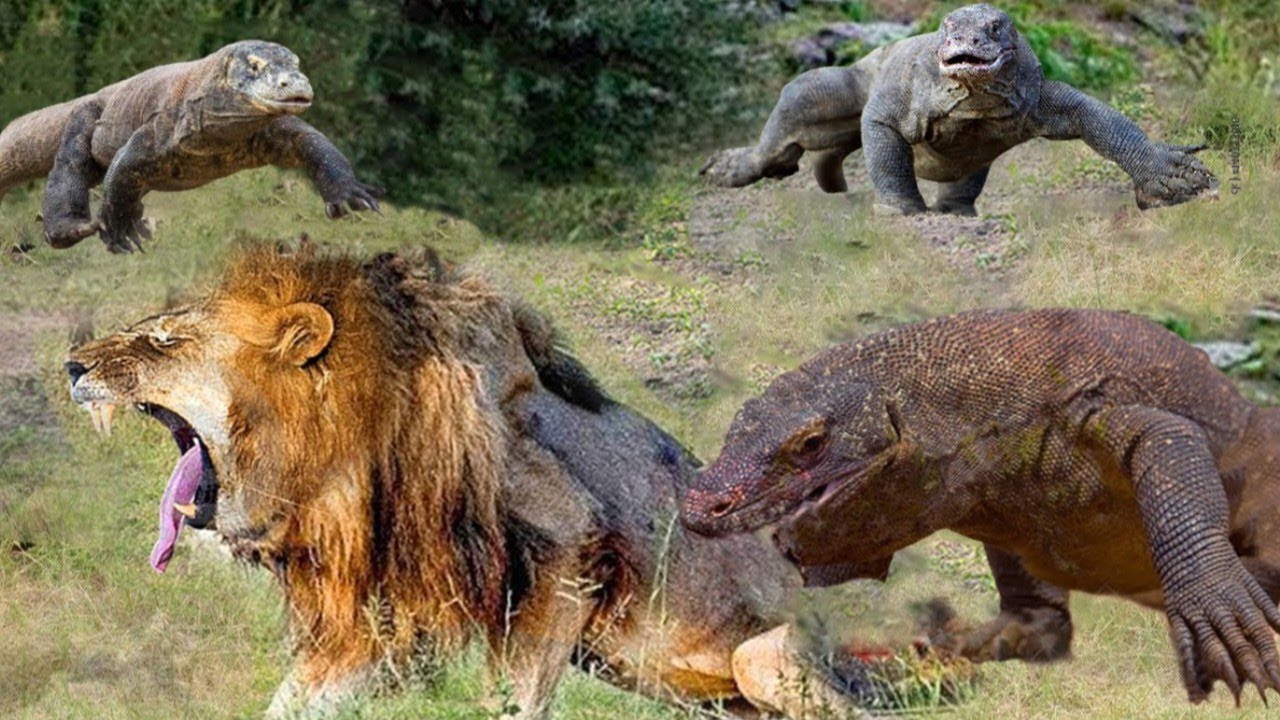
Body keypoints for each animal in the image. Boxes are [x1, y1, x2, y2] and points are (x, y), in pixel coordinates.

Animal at [64, 243, 879, 718]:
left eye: (163, 340)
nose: (71, 365)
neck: (344, 463)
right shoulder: (380, 610)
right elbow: (294, 701)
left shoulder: (570, 541)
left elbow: (508, 699)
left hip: (767, 655)